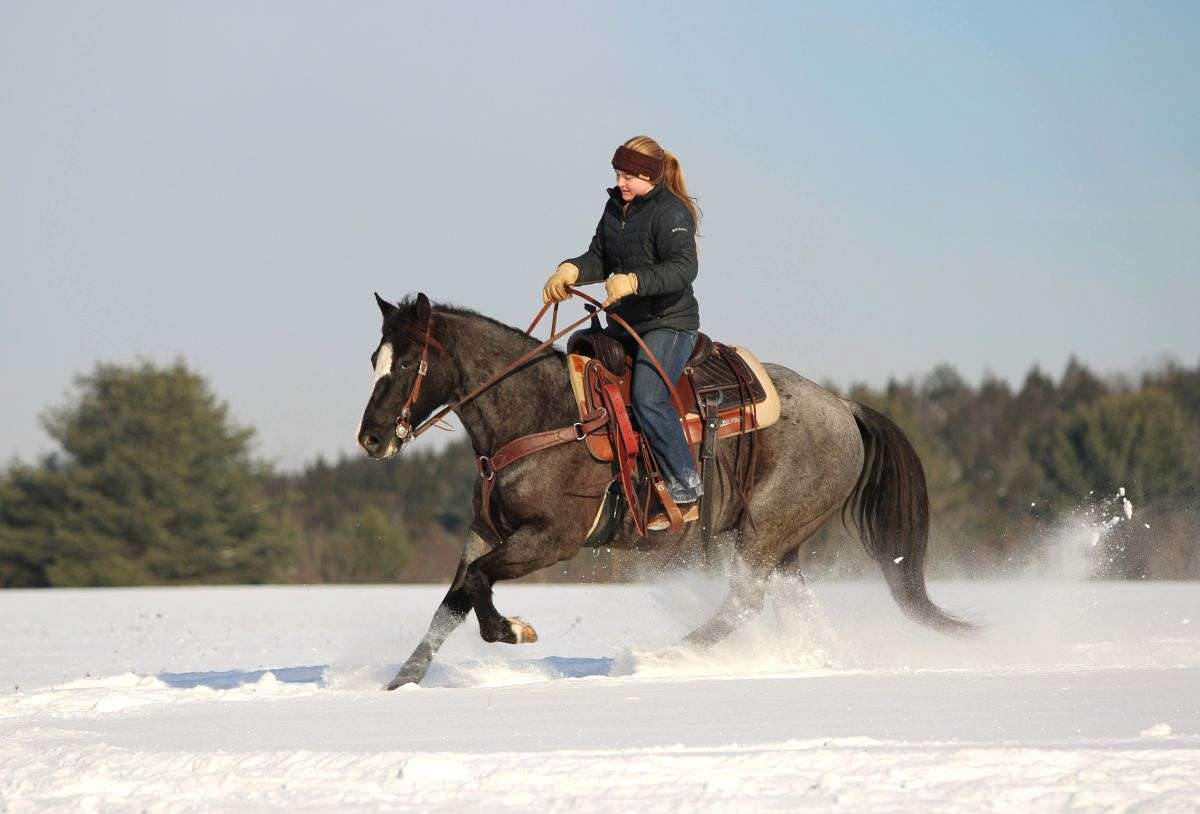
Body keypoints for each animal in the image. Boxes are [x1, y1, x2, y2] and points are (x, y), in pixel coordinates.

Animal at [357, 292, 973, 689]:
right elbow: (453, 602)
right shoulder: (486, 530)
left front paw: (514, 630)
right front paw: (401, 683)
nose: (370, 438)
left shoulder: (552, 538)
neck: (540, 413)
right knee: (784, 607)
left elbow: (480, 588)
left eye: (406, 362)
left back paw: (660, 658)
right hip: (782, 543)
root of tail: (845, 408)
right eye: (374, 359)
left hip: (763, 533)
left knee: (743, 603)